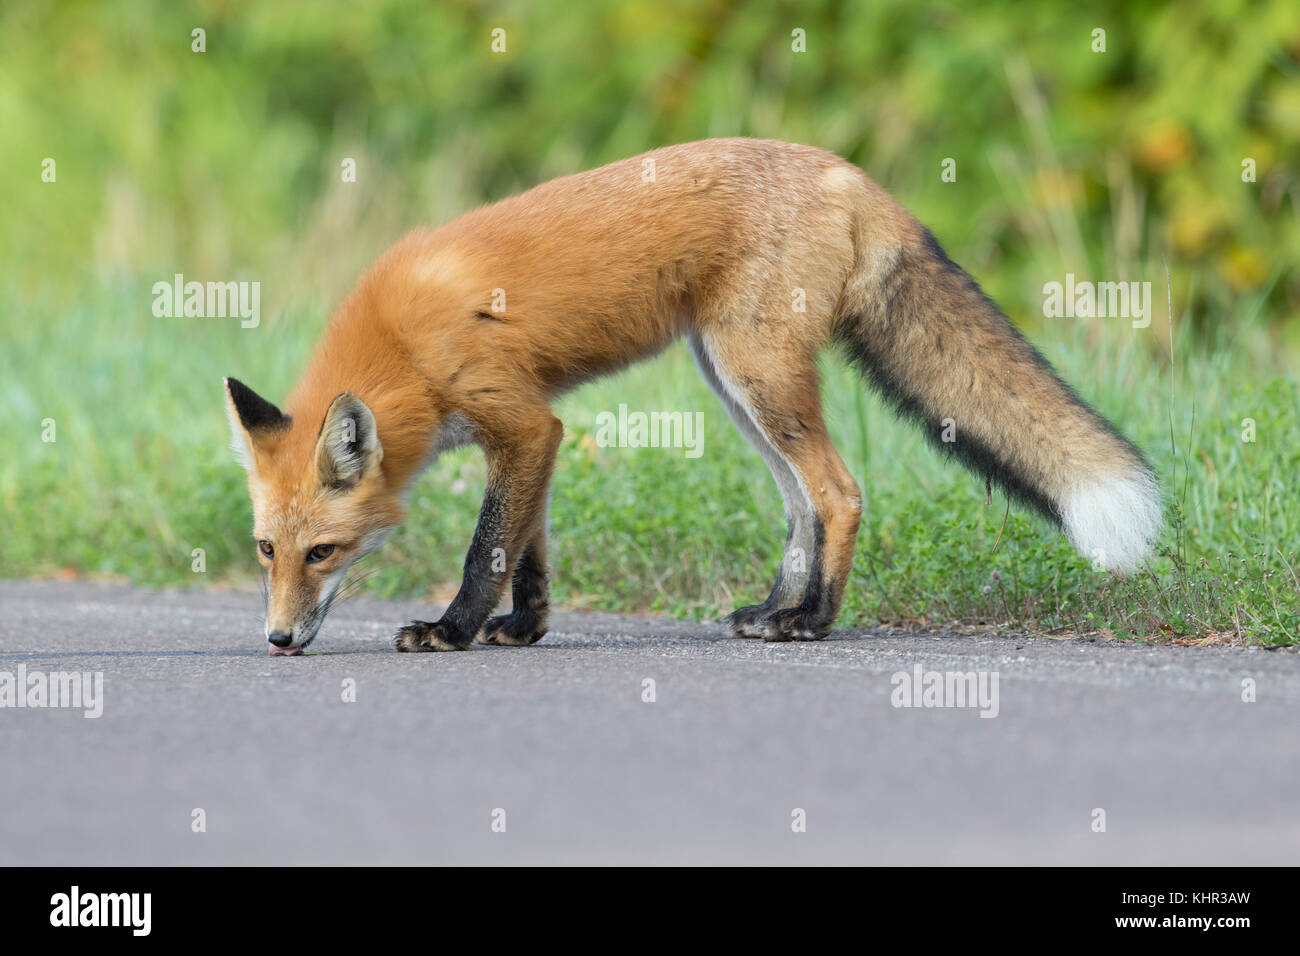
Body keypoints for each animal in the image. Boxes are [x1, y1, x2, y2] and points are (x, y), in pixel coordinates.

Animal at [224, 138, 1161, 656]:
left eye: (324, 553)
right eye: (267, 551)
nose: (277, 640)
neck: (402, 346)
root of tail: (846, 172)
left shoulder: (521, 423)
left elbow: (486, 549)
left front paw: (451, 631)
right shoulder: (532, 437)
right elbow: (528, 549)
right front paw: (523, 629)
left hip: (756, 372)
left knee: (840, 493)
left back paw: (813, 623)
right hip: (734, 381)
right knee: (802, 506)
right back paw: (779, 609)